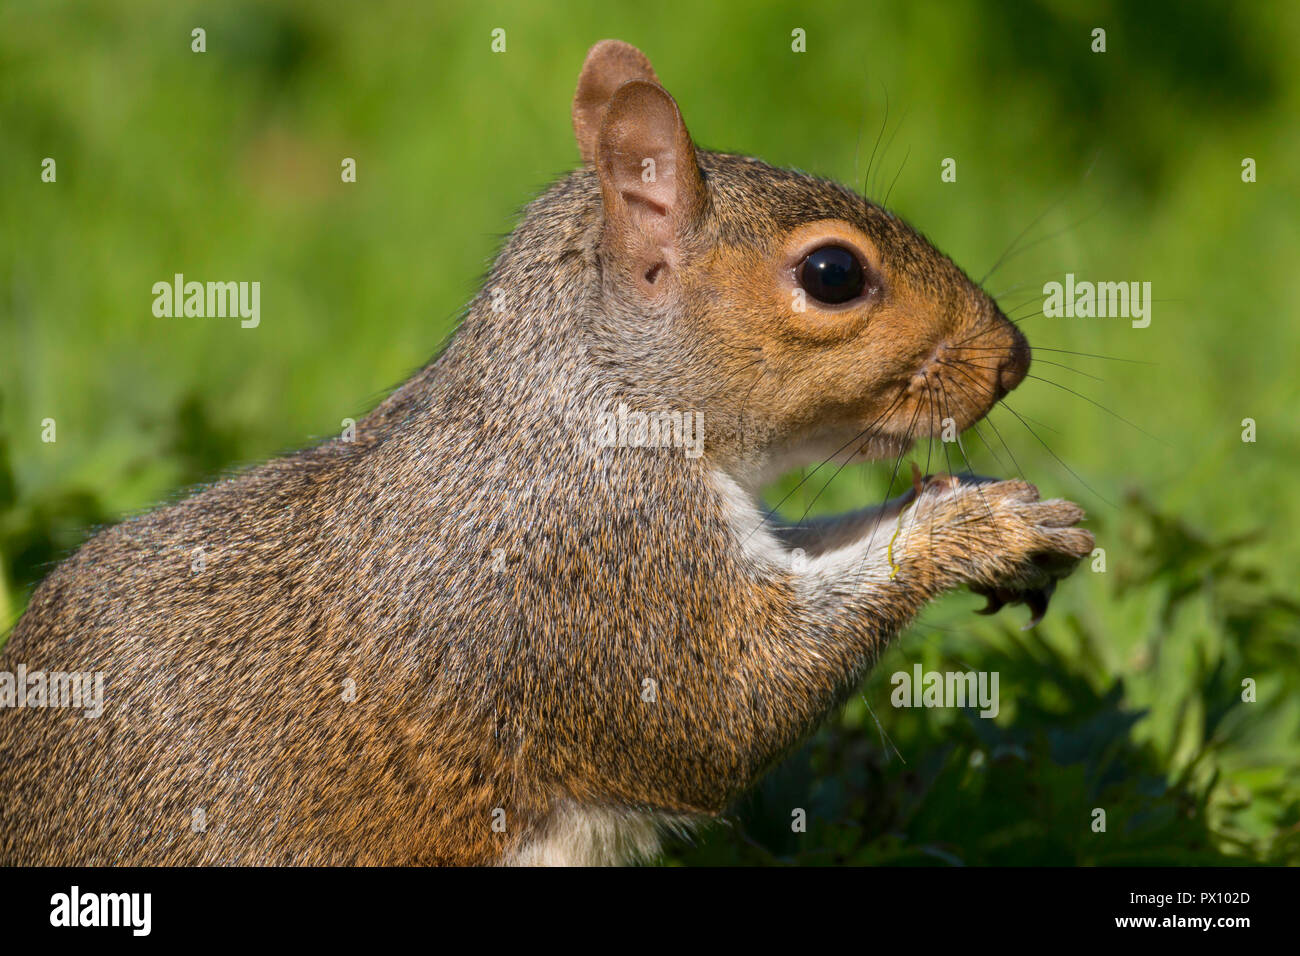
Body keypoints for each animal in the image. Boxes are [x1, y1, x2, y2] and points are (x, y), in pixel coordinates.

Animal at [0, 40, 1092, 866]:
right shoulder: (597, 568)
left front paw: (996, 511)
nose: (1013, 358)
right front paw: (972, 529)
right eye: (832, 273)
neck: (583, 401)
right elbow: (729, 705)